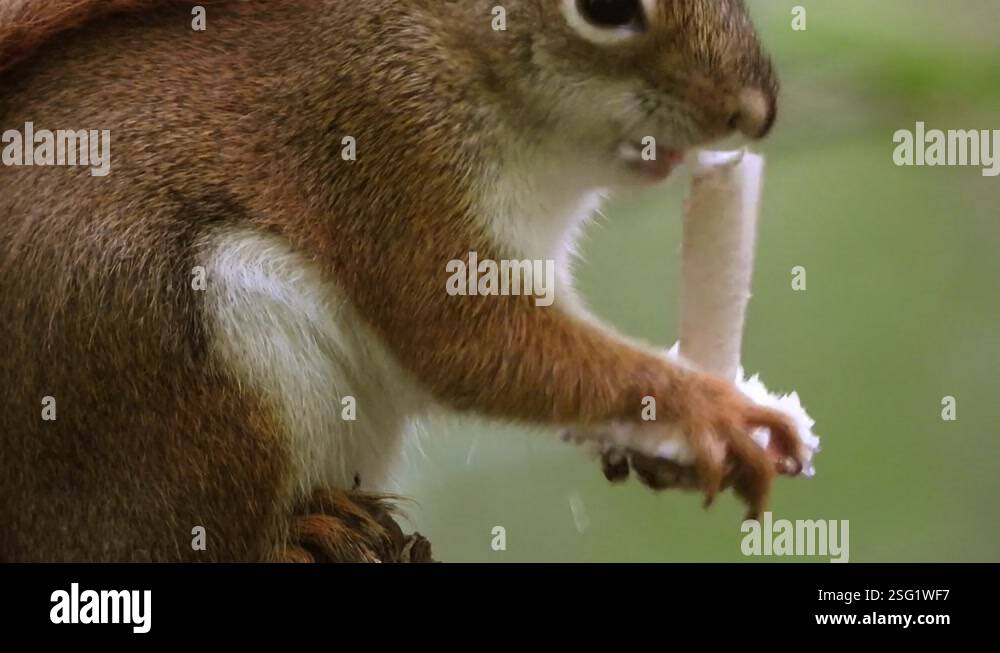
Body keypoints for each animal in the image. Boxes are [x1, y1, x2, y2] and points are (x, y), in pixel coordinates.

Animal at [0, 0, 803, 562]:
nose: (758, 111)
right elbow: (467, 342)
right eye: (605, 8)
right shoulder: (395, 149)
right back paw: (302, 536)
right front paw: (710, 409)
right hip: (176, 359)